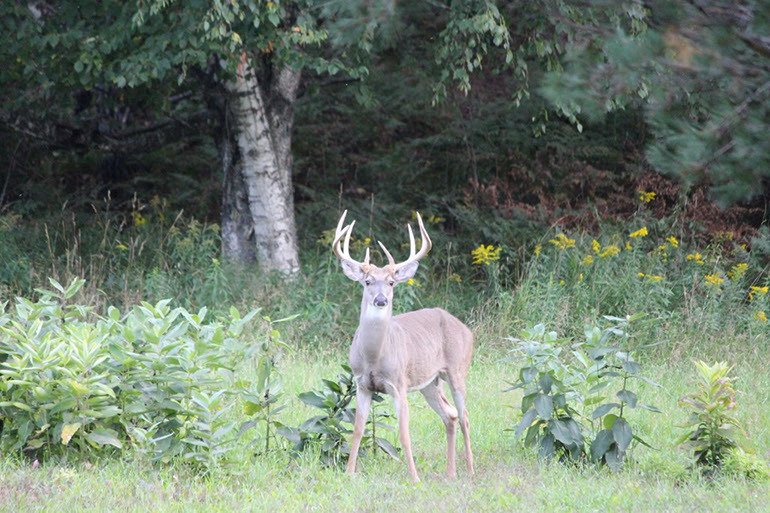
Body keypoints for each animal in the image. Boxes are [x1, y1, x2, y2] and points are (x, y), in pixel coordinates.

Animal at [331, 210, 474, 482]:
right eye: (367, 281)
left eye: (391, 282)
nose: (380, 300)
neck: (373, 357)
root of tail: (466, 329)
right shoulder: (361, 384)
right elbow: (357, 429)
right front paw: (349, 473)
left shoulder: (399, 384)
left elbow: (404, 434)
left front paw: (414, 477)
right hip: (430, 382)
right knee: (450, 415)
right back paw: (450, 473)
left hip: (458, 369)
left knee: (464, 416)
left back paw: (470, 471)